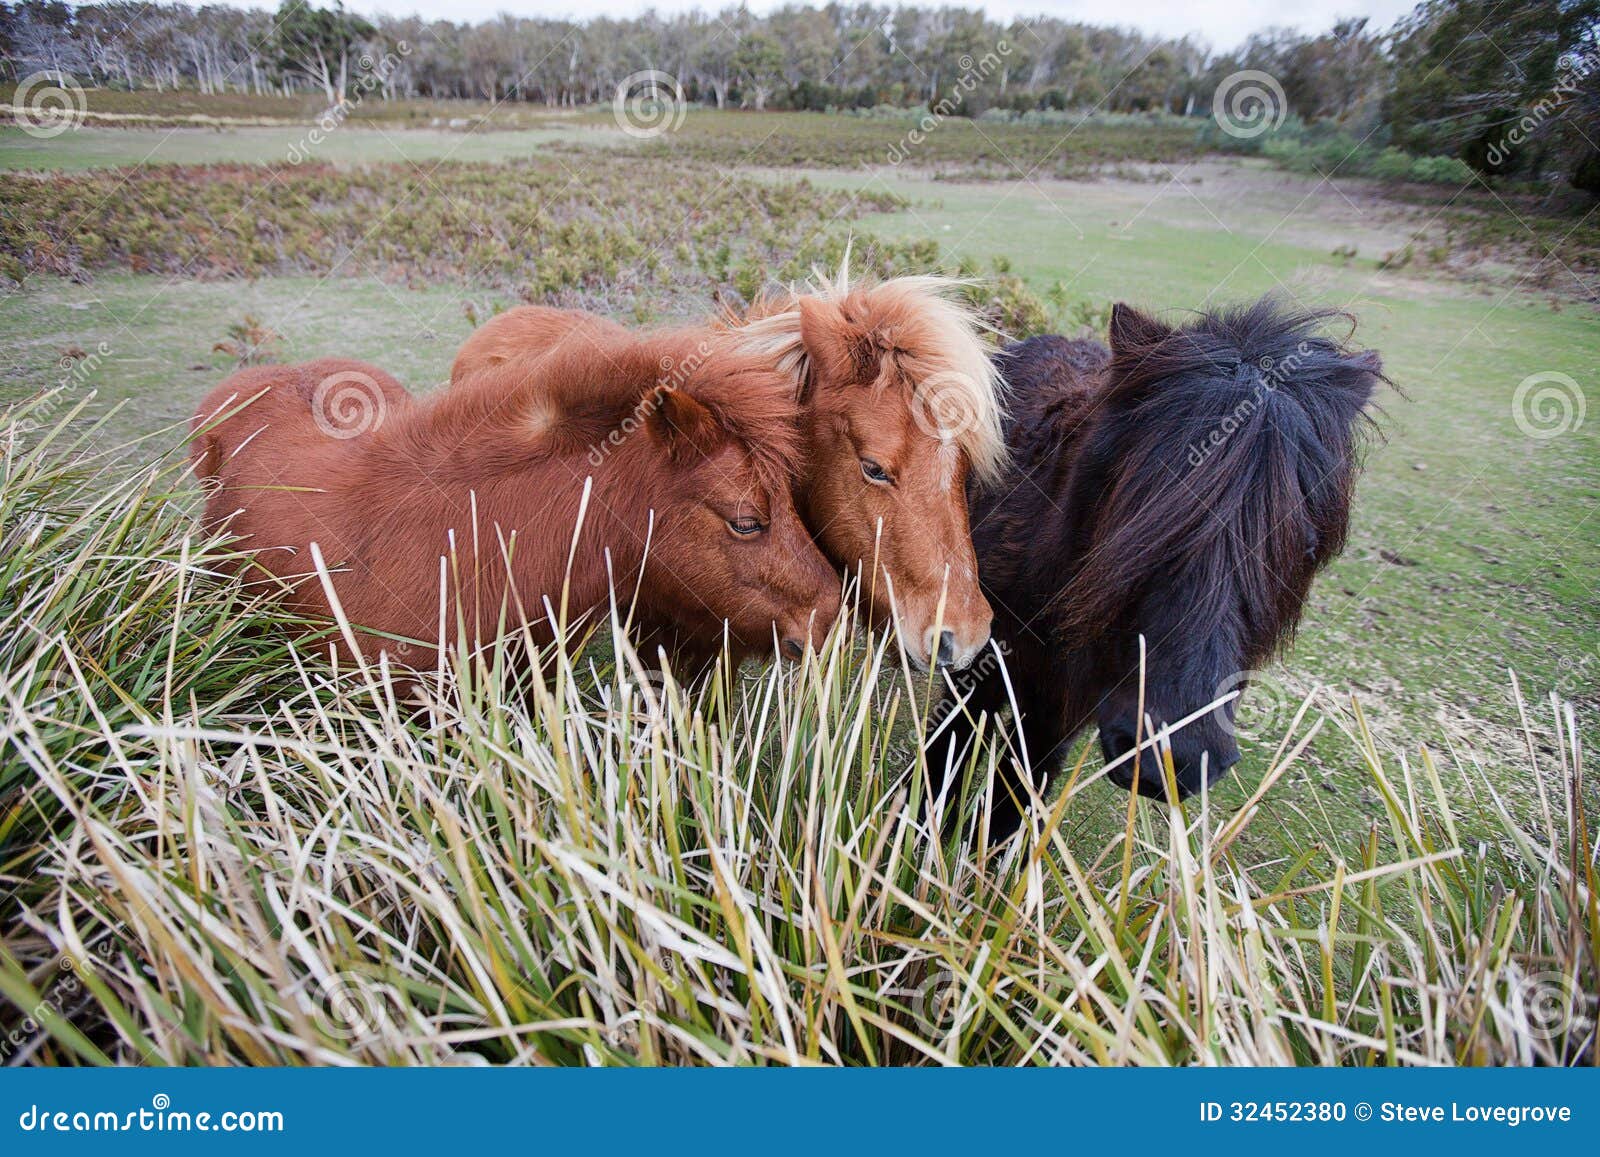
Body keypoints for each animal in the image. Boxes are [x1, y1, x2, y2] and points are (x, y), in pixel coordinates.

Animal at [929, 296, 1384, 838]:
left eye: (1306, 545)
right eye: (1137, 510)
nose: (1176, 760)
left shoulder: (1059, 714)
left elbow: (1014, 804)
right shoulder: (976, 669)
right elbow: (943, 764)